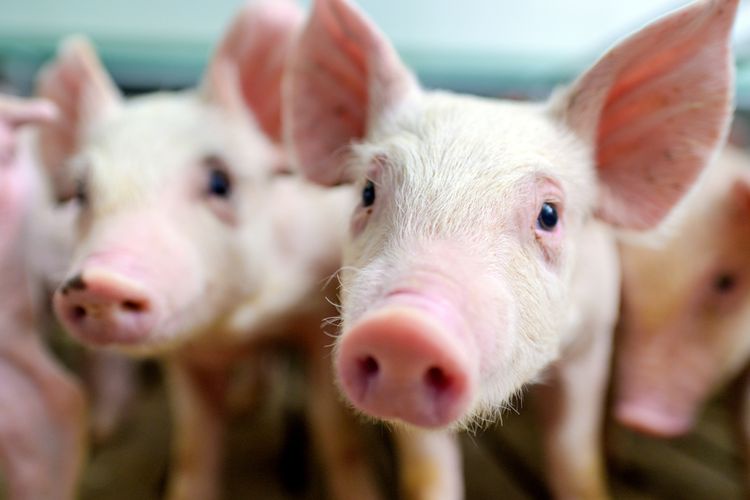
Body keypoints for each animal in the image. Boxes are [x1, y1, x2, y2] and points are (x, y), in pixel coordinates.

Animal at [34, 1, 460, 499]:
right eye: (81, 193)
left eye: (221, 182)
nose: (97, 282)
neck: (233, 325)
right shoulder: (185, 357)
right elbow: (194, 440)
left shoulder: (315, 318)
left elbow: (332, 429)